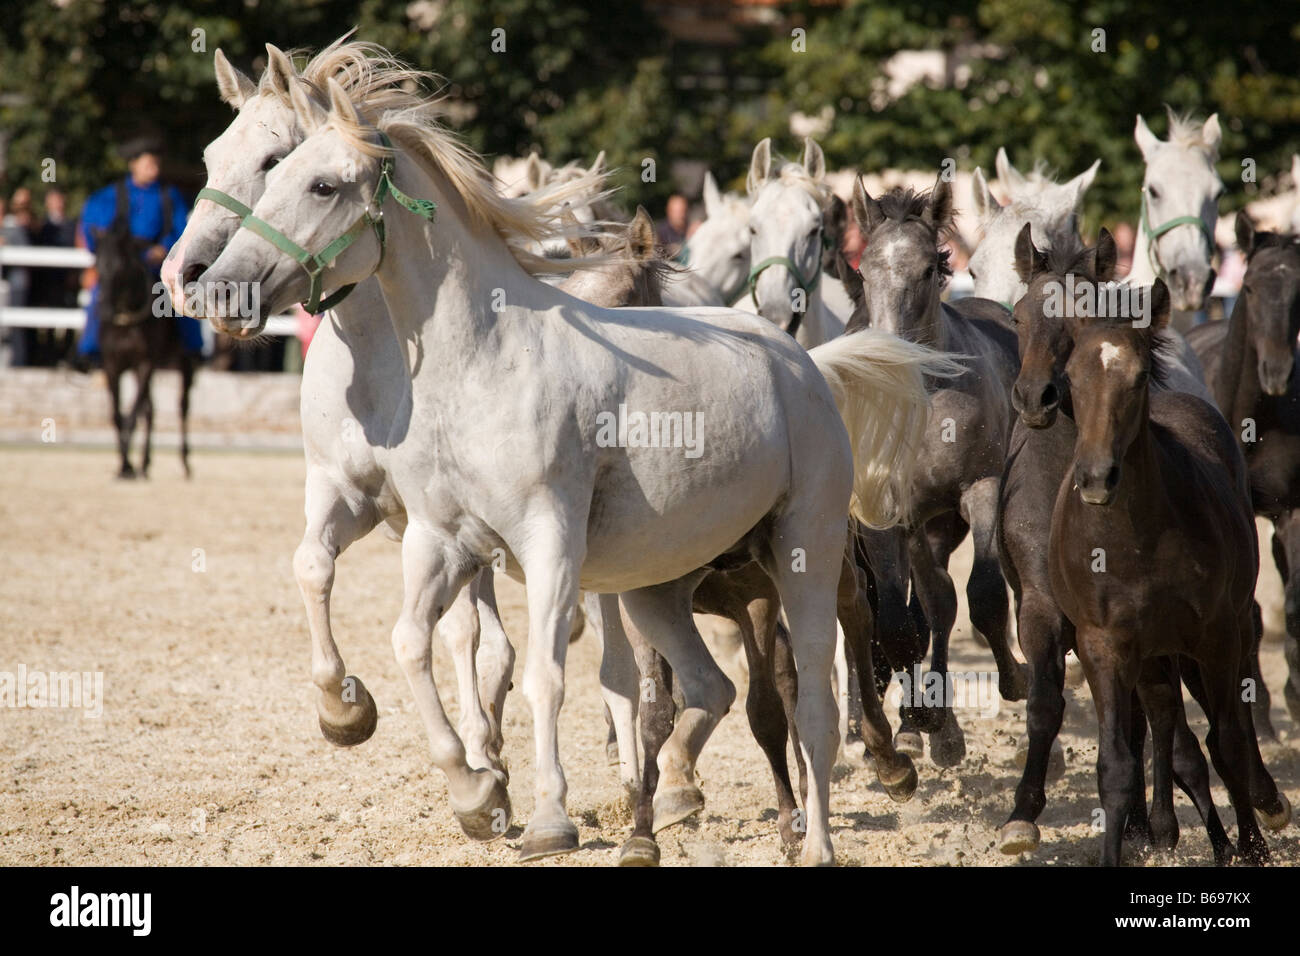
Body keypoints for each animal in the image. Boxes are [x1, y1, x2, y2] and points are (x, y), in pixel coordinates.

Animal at [94, 218, 194, 480]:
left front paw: (127, 466)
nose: (104, 309)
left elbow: (132, 416)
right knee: (149, 410)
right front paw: (125, 464)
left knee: (182, 408)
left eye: (120, 267)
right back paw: (144, 463)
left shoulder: (145, 364)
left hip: (184, 365)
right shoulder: (112, 366)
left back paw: (184, 462)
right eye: (97, 265)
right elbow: (118, 416)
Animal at [180, 64, 951, 866]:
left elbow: (544, 678)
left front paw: (549, 817)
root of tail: (808, 364)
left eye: (320, 183)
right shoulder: (439, 542)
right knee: (709, 686)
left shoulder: (548, 545)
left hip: (806, 551)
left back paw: (823, 828)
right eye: (267, 169)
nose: (217, 286)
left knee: (817, 703)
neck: (483, 362)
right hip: (659, 591)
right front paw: (470, 788)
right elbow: (415, 642)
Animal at [1049, 278, 1289, 865]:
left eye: (1136, 378)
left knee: (1228, 726)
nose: (1096, 478)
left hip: (1221, 633)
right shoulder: (1104, 644)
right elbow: (1116, 765)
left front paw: (1251, 847)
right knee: (1164, 719)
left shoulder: (1216, 635)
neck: (1135, 540)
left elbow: (1227, 740)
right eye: (1071, 379)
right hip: (1155, 655)